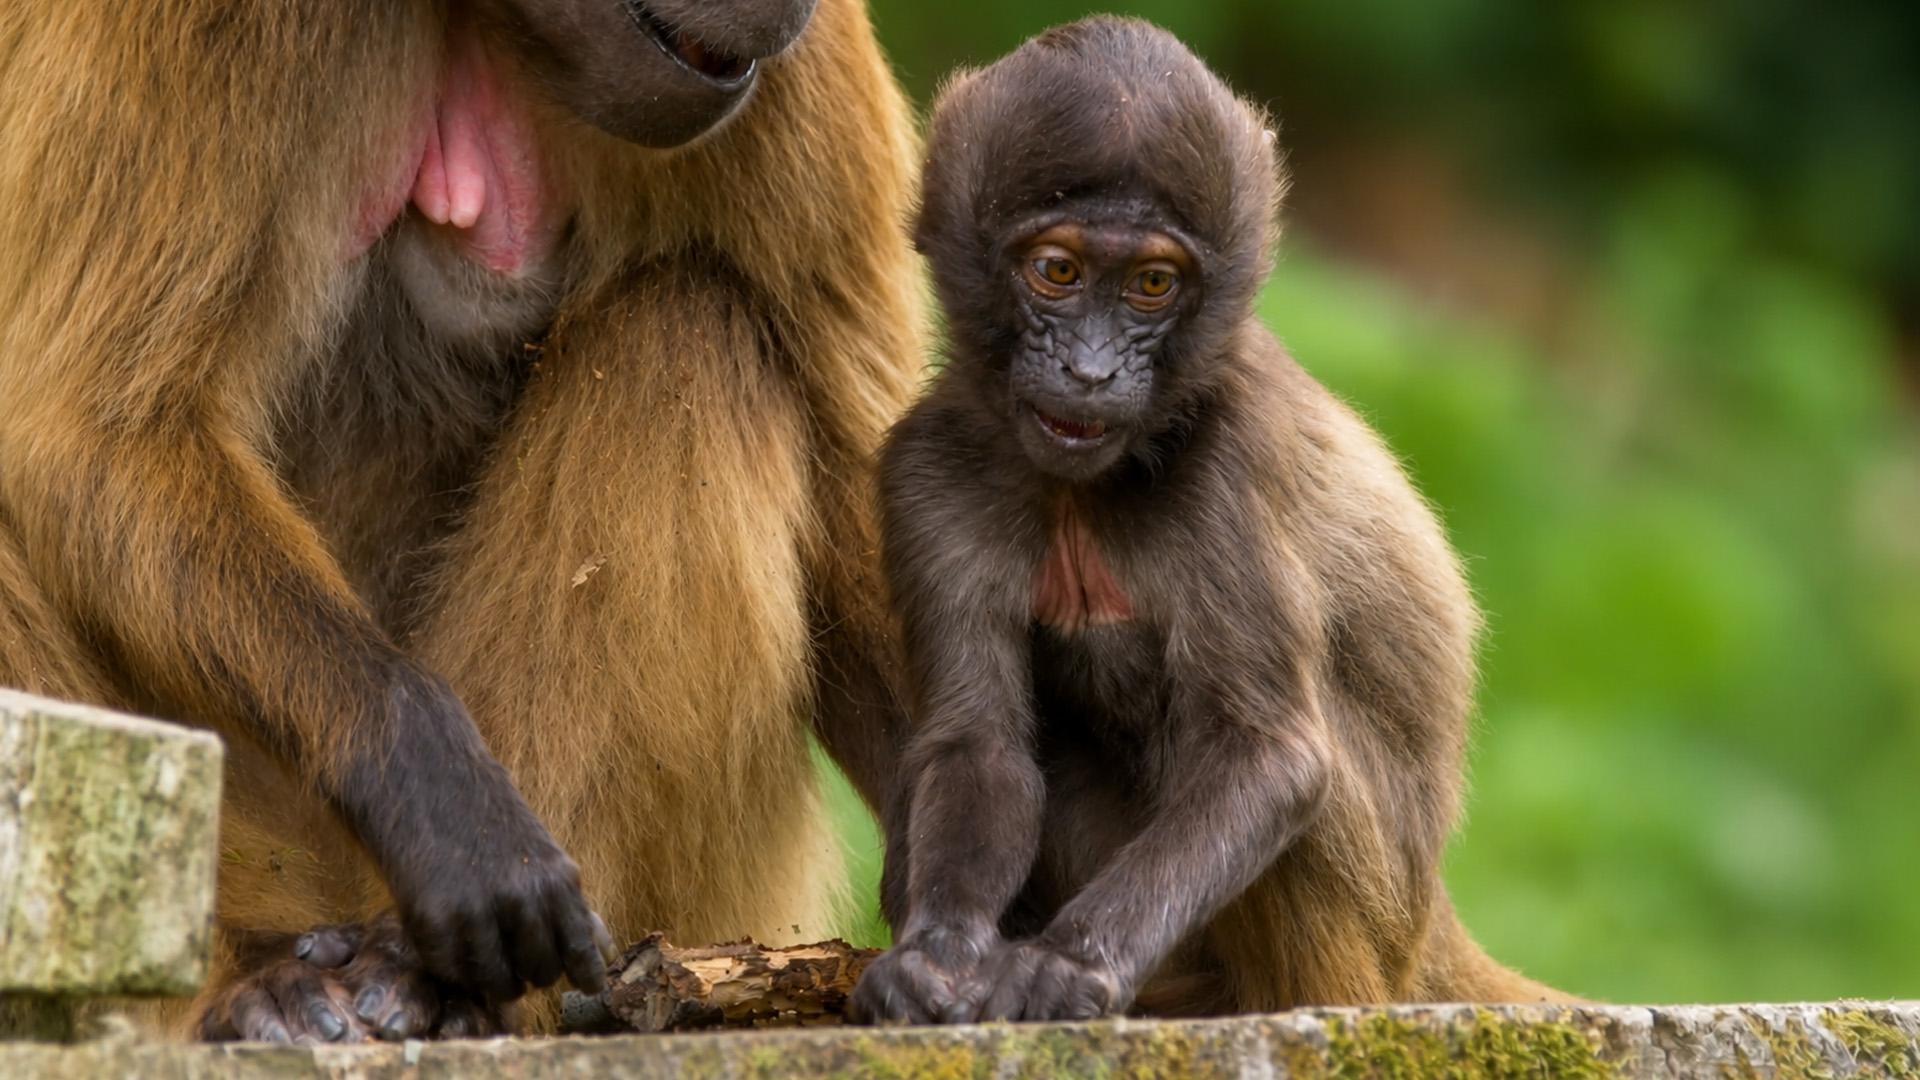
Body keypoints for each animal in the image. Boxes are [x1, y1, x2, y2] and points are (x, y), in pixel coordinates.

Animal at [0, 0, 921, 1042]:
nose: (789, 10)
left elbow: (856, 466)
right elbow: (93, 440)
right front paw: (449, 811)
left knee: (684, 332)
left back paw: (433, 986)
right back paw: (249, 984)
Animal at [850, 16, 1567, 1025]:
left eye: (1153, 284)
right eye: (1058, 271)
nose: (1092, 372)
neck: (1084, 491)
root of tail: (1432, 925)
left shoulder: (1234, 461)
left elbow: (1268, 756)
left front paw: (1067, 962)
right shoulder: (924, 468)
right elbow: (975, 742)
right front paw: (934, 956)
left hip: (1381, 917)